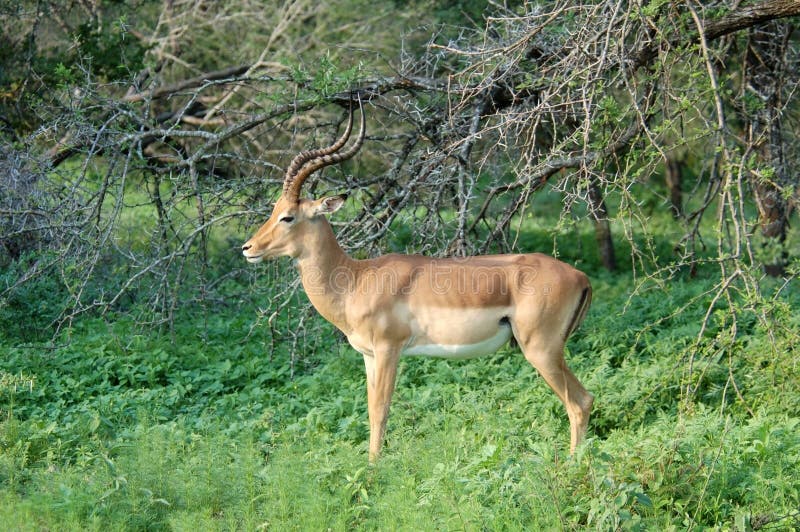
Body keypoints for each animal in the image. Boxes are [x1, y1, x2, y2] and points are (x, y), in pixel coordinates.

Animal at [242, 98, 594, 462]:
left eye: (288, 217)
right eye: (274, 209)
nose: (247, 248)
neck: (355, 280)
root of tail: (580, 276)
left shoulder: (389, 350)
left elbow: (380, 409)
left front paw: (373, 467)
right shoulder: (369, 356)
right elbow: (371, 408)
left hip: (542, 350)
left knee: (579, 403)